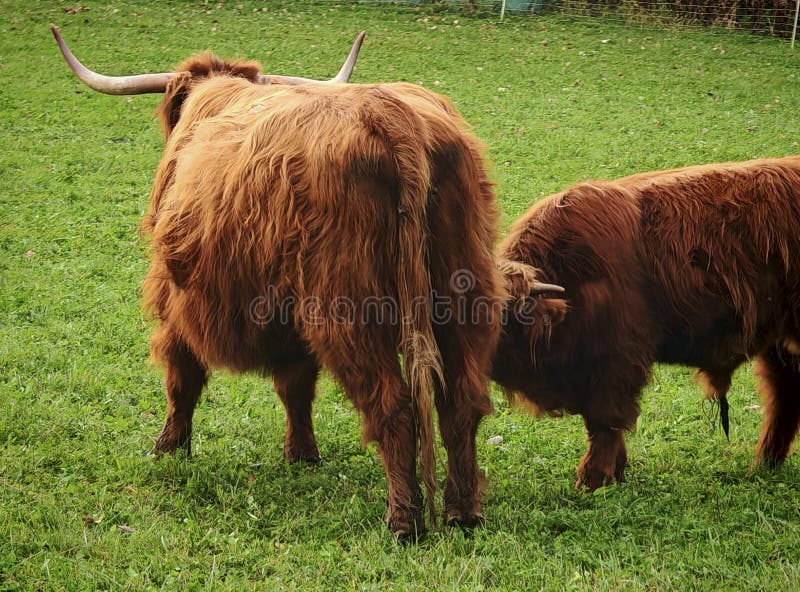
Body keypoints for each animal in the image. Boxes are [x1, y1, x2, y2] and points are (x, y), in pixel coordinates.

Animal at [51, 24, 548, 539]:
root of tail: (395, 120)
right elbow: (296, 385)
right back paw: (463, 512)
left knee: (393, 405)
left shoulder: (176, 295)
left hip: (348, 310)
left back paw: (403, 520)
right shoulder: (287, 313)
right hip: (464, 290)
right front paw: (302, 454)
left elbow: (182, 375)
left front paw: (168, 447)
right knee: (460, 401)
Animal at [492, 156, 800, 491]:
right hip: (777, 342)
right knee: (784, 394)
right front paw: (615, 474)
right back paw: (764, 463)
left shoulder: (617, 361)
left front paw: (592, 480)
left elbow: (604, 422)